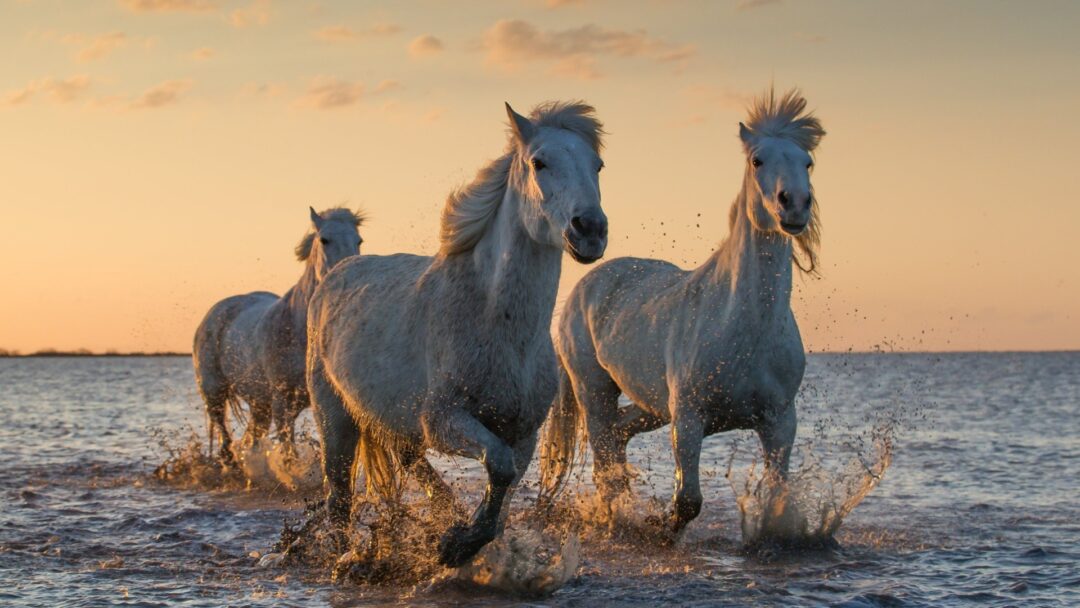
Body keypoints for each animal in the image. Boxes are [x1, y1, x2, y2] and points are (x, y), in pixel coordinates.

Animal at [193, 207, 364, 467]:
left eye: (358, 240)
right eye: (324, 240)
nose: (346, 273)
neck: (296, 329)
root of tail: (215, 312)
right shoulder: (282, 402)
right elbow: (289, 454)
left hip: (259, 405)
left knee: (250, 440)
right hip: (215, 394)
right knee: (225, 442)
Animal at [306, 101, 608, 567]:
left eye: (598, 165)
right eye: (539, 162)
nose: (589, 230)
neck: (498, 326)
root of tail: (334, 276)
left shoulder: (522, 434)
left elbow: (503, 488)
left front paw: (460, 538)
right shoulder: (444, 419)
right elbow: (497, 467)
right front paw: (454, 542)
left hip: (395, 421)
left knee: (409, 463)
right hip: (334, 417)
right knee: (338, 498)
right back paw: (343, 557)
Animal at [539, 88, 825, 538]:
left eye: (807, 162)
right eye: (757, 160)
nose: (794, 205)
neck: (744, 327)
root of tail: (586, 284)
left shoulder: (780, 423)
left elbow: (779, 498)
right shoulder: (689, 419)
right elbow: (688, 501)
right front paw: (657, 526)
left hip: (651, 405)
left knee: (618, 438)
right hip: (593, 390)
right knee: (605, 462)